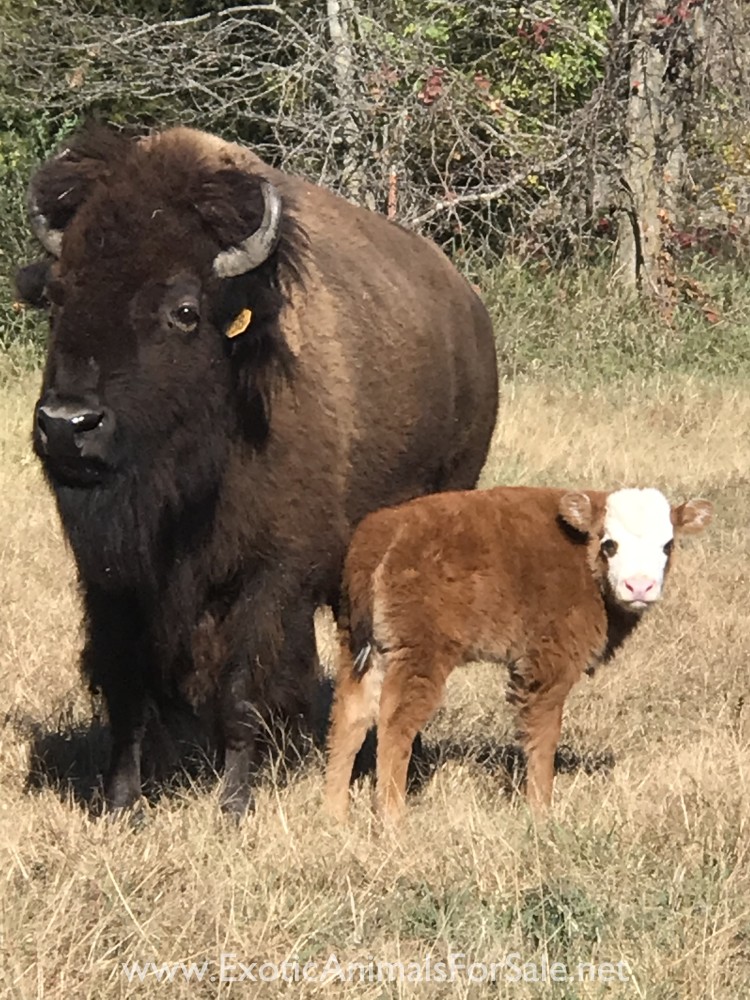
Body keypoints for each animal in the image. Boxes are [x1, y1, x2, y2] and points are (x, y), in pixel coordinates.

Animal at [16, 125, 498, 816]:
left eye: (184, 310)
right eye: (57, 297)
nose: (66, 424)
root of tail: (470, 313)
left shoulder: (272, 577)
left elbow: (243, 690)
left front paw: (233, 804)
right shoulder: (113, 583)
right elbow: (126, 689)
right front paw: (120, 801)